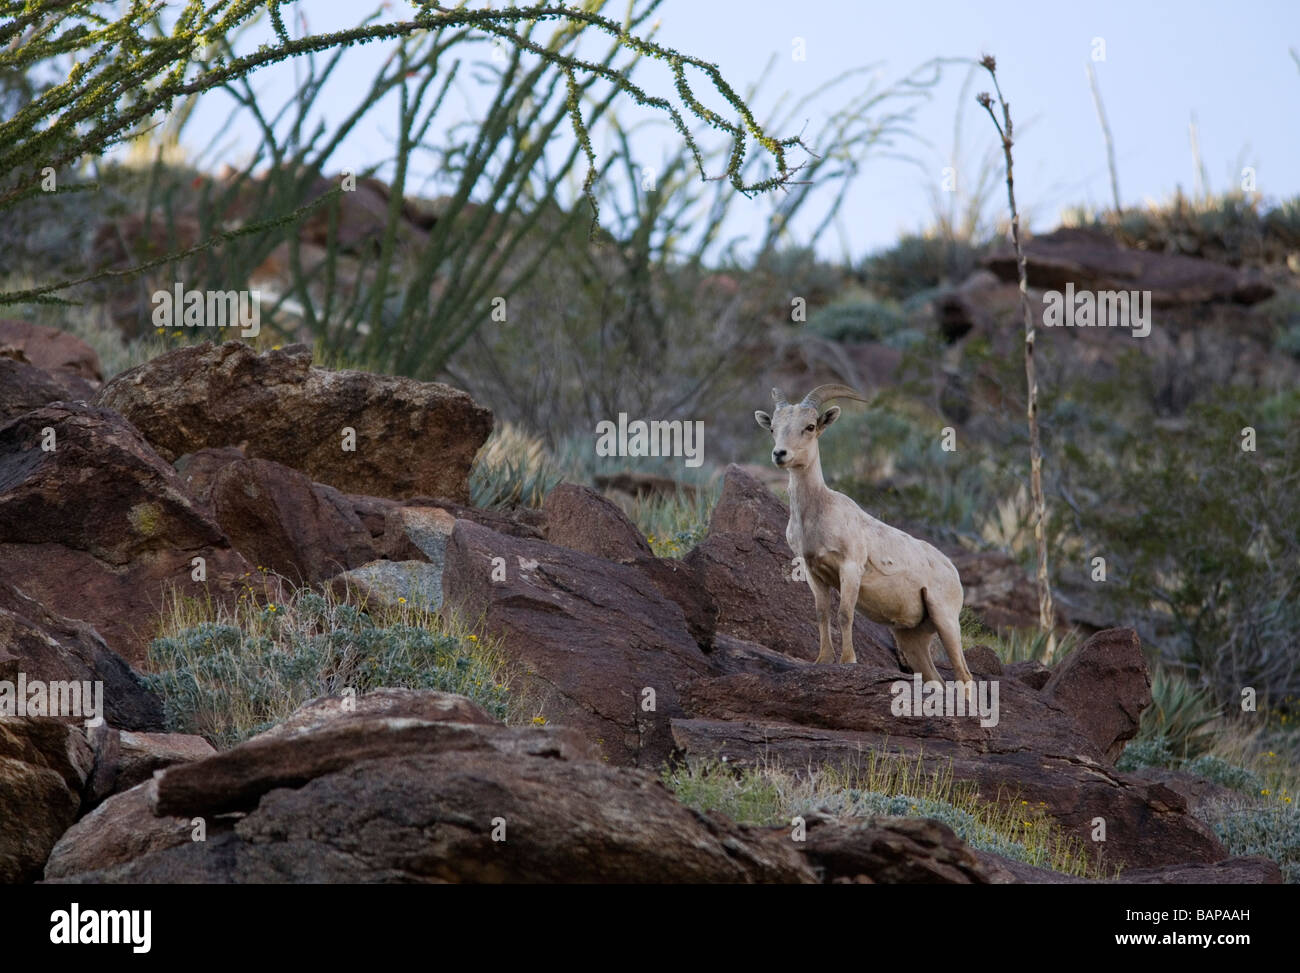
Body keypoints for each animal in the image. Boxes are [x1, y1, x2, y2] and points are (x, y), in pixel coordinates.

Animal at [754, 384, 975, 695]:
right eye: (773, 428)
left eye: (810, 427)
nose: (780, 454)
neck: (817, 514)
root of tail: (952, 571)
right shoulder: (814, 573)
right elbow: (822, 613)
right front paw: (823, 660)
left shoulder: (850, 568)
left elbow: (845, 614)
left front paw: (848, 661)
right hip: (911, 637)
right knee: (937, 679)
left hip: (945, 620)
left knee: (965, 677)